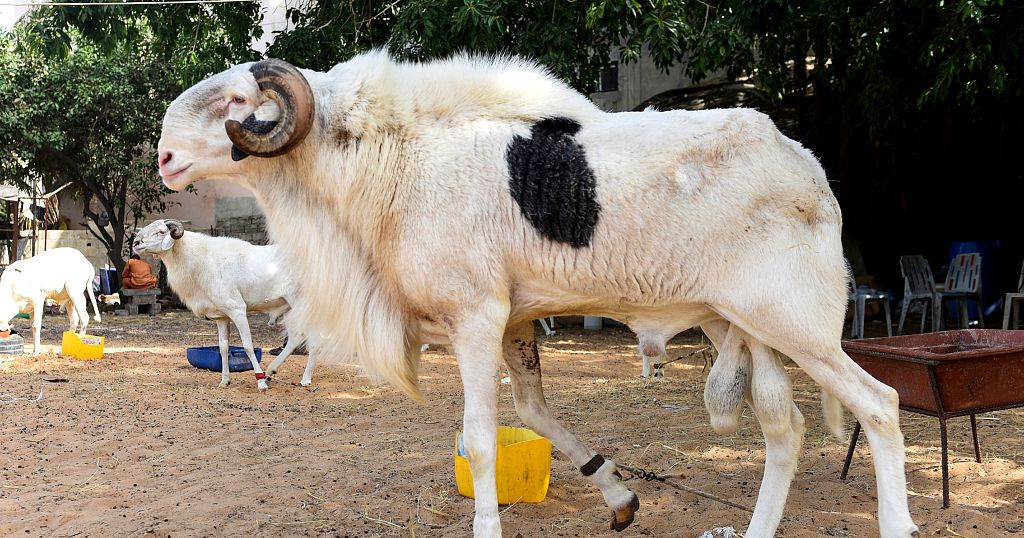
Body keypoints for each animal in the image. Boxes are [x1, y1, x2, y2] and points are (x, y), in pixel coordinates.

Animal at [132, 220, 316, 390]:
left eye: (161, 231)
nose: (135, 243)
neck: (200, 259)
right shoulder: (222, 316)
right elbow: (223, 348)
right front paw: (225, 381)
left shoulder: (237, 310)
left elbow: (248, 346)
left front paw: (260, 382)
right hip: (290, 309)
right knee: (295, 338)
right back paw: (271, 371)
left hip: (304, 305)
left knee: (314, 340)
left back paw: (304, 379)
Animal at [154, 53, 919, 538]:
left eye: (237, 103)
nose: (162, 158)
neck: (390, 156)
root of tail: (811, 170)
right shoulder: (515, 323)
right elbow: (531, 414)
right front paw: (619, 496)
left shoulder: (474, 318)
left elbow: (481, 439)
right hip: (746, 329)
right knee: (785, 431)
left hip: (800, 327)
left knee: (880, 406)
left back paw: (897, 522)